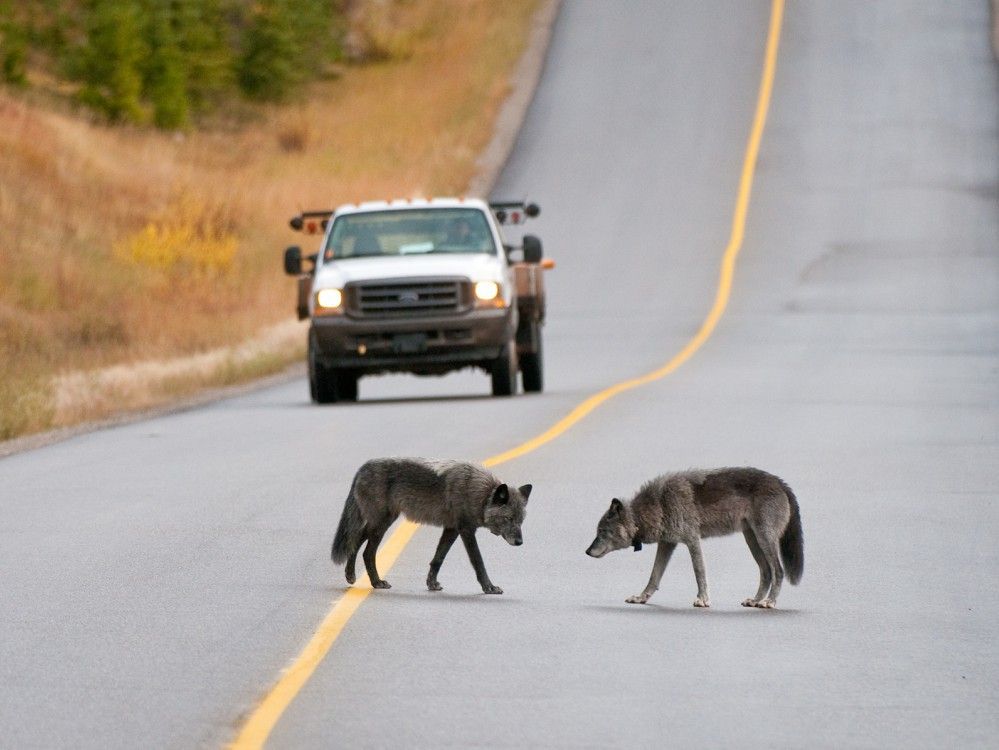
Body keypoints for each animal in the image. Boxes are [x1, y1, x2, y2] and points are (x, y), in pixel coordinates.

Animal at [331, 458, 531, 594]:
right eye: (508, 519)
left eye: (520, 520)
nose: (520, 542)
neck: (482, 493)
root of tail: (363, 467)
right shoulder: (466, 531)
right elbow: (478, 561)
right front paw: (489, 587)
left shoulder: (452, 529)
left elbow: (438, 558)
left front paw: (432, 584)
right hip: (381, 524)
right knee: (366, 551)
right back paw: (376, 582)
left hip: (382, 522)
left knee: (355, 541)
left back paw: (351, 575)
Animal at [585, 467, 803, 608]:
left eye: (602, 532)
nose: (586, 552)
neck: (659, 504)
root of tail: (781, 483)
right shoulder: (667, 543)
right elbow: (654, 576)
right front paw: (641, 598)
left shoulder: (692, 540)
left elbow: (699, 572)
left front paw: (703, 600)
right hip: (752, 540)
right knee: (766, 571)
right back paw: (756, 601)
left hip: (764, 539)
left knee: (778, 570)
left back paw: (769, 602)